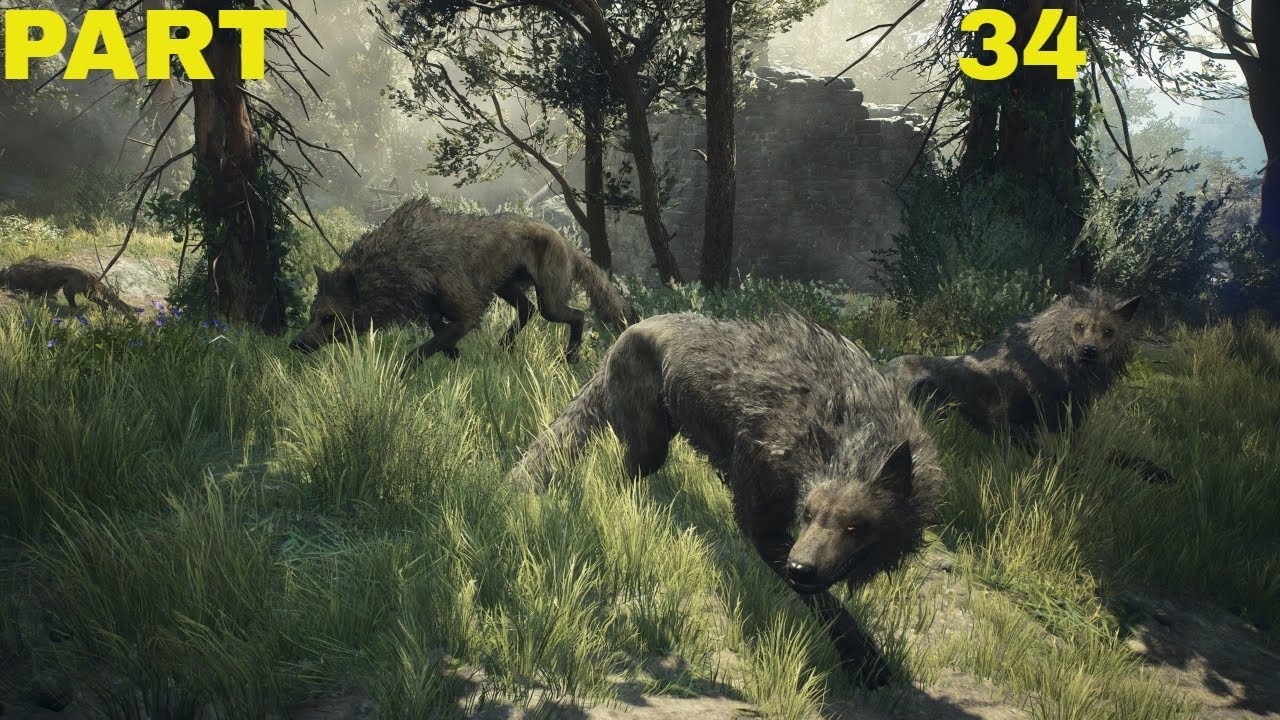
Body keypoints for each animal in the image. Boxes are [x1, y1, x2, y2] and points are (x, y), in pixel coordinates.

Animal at [289, 197, 639, 366]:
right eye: (311, 315)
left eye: (328, 319)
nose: (295, 344)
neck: (407, 261)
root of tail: (565, 240)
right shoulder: (435, 307)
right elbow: (436, 327)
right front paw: (453, 353)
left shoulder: (468, 314)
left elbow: (421, 349)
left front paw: (406, 372)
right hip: (506, 287)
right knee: (527, 310)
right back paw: (506, 347)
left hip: (549, 302)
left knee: (577, 314)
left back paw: (570, 357)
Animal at [508, 312, 946, 686]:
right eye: (807, 514)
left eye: (856, 526)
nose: (800, 568)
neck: (851, 427)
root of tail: (628, 331)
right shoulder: (762, 527)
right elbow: (830, 608)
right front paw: (867, 666)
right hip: (650, 449)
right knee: (616, 475)